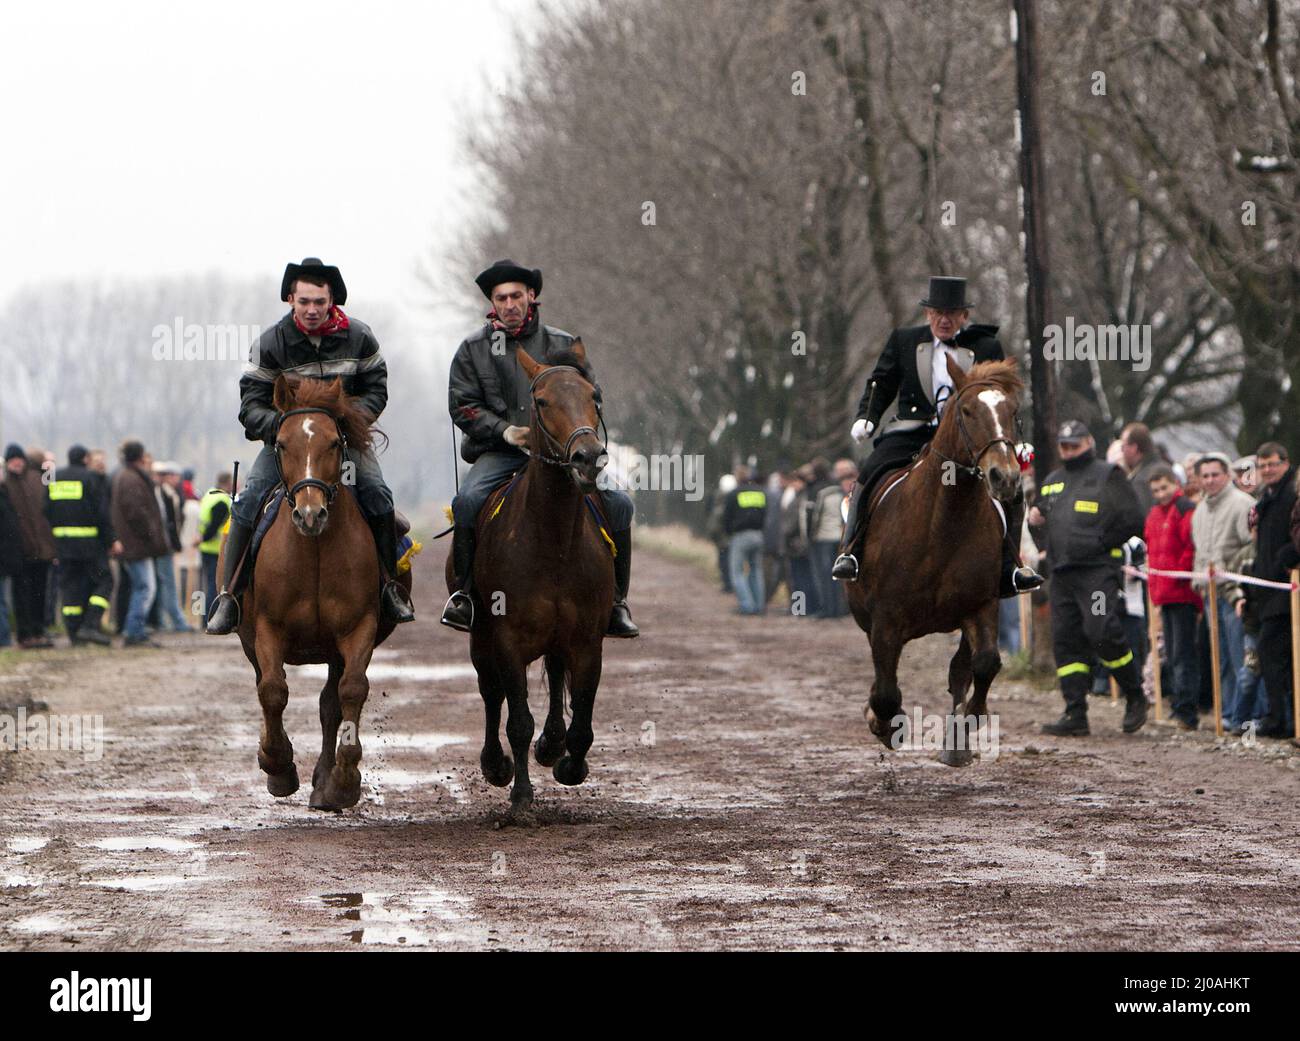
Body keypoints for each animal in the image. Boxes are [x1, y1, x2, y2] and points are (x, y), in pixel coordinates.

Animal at [221, 375, 413, 810]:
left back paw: (326, 782)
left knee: (330, 703)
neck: (314, 550)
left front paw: (343, 781)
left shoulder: (357, 630)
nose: (310, 515)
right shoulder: (267, 630)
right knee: (266, 686)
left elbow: (350, 693)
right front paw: (277, 766)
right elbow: (272, 691)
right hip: (249, 638)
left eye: (333, 443)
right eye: (281, 443)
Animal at [447, 341, 615, 825]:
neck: (552, 542)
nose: (587, 458)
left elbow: (583, 721)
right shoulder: (507, 639)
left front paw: (568, 763)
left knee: (556, 680)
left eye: (593, 397)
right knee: (491, 693)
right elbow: (516, 719)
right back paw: (496, 765)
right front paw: (521, 796)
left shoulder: (587, 640)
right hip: (481, 637)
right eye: (541, 402)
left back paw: (551, 744)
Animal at [844, 356, 1025, 767]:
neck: (944, 522)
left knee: (961, 669)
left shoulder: (981, 606)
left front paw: (972, 719)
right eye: (968, 410)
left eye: (1012, 411)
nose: (1005, 477)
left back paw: (957, 743)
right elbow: (886, 690)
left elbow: (985, 663)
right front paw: (882, 723)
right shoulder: (886, 618)